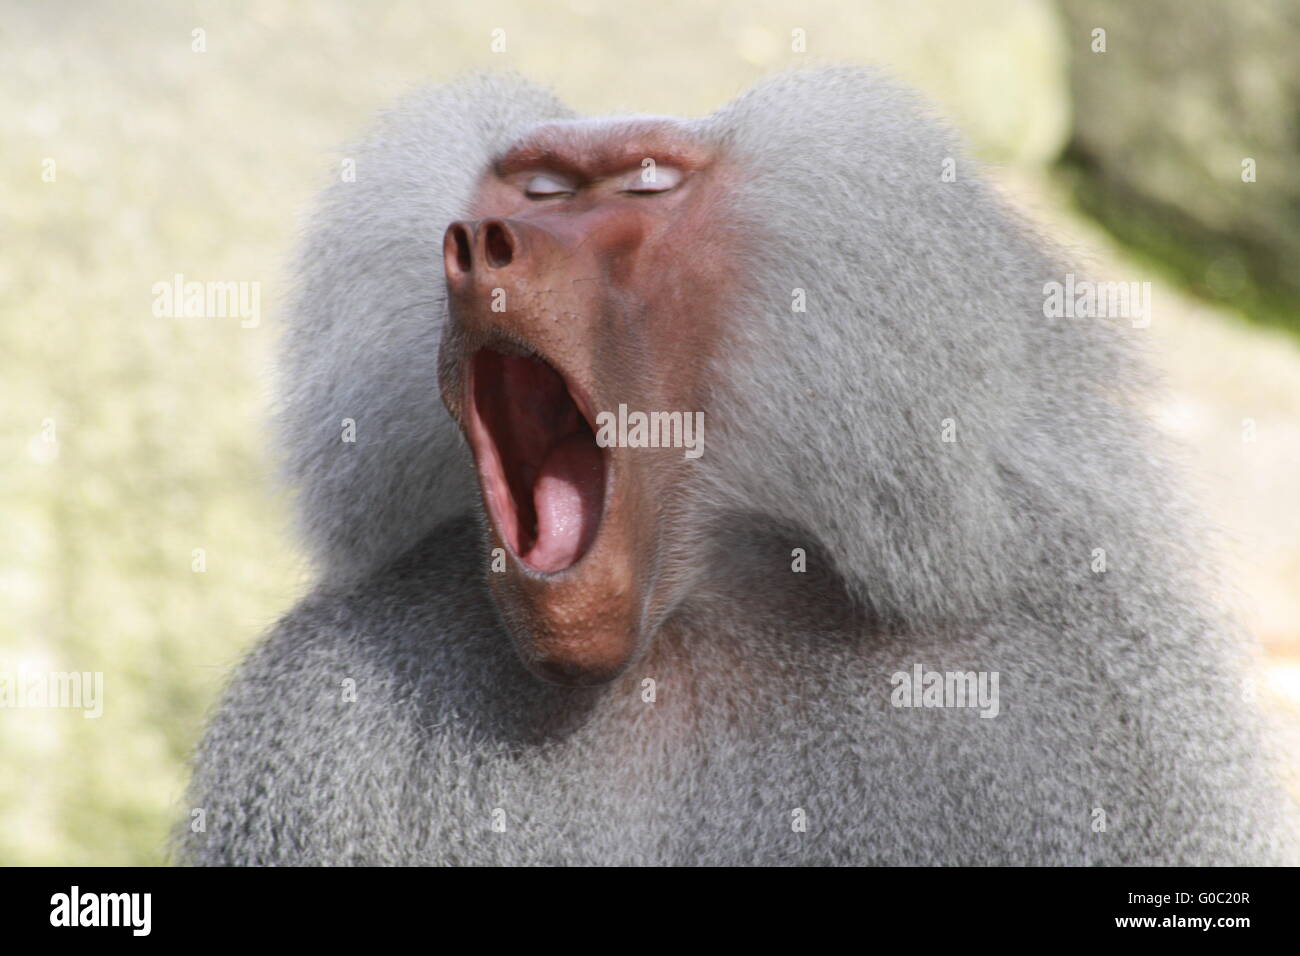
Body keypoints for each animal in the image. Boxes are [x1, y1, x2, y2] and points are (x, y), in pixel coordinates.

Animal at [176, 68, 1297, 865]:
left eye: (643, 185)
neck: (681, 634)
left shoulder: (1076, 706)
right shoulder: (319, 719)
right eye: (537, 187)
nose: (481, 241)